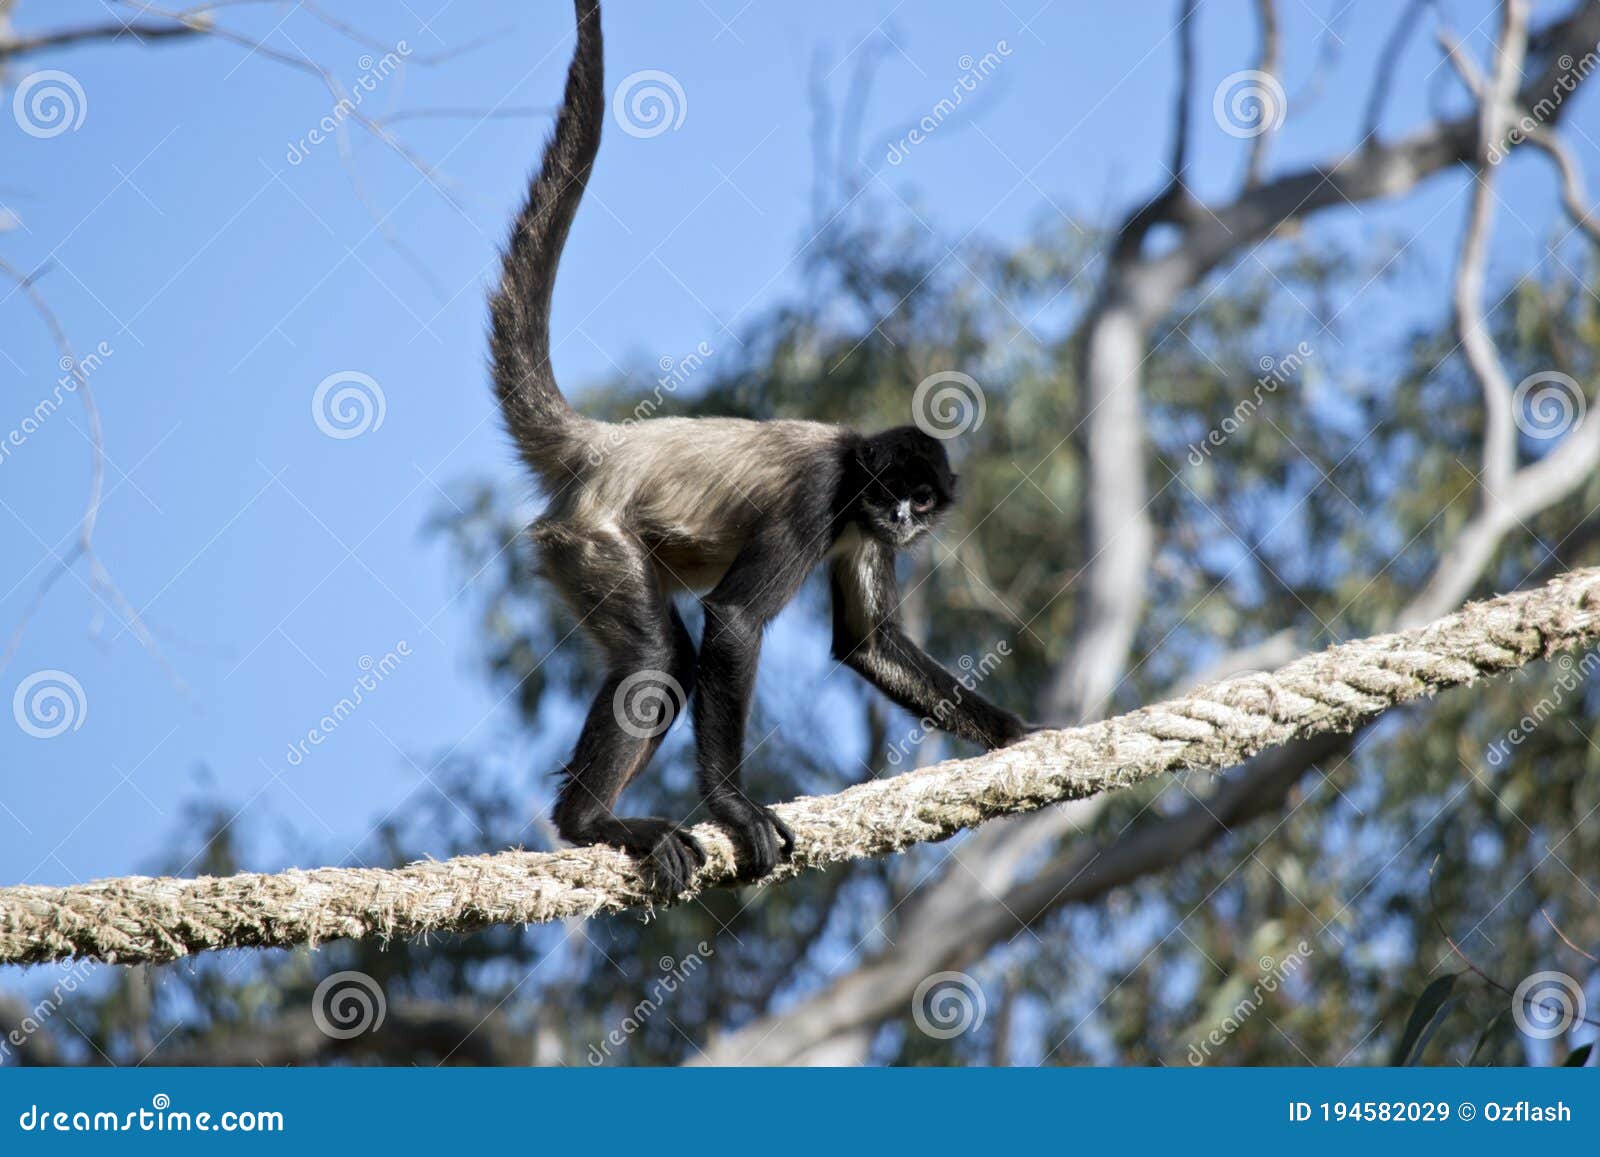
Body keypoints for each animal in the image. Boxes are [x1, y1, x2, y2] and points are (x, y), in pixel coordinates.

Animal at [490, 0, 1032, 893]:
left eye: (920, 502)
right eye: (894, 493)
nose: (905, 521)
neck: (853, 472)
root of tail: (608, 444)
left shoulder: (854, 523)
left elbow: (866, 642)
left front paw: (1021, 734)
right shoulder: (820, 495)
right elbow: (736, 620)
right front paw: (732, 805)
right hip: (591, 537)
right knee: (660, 655)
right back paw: (590, 822)